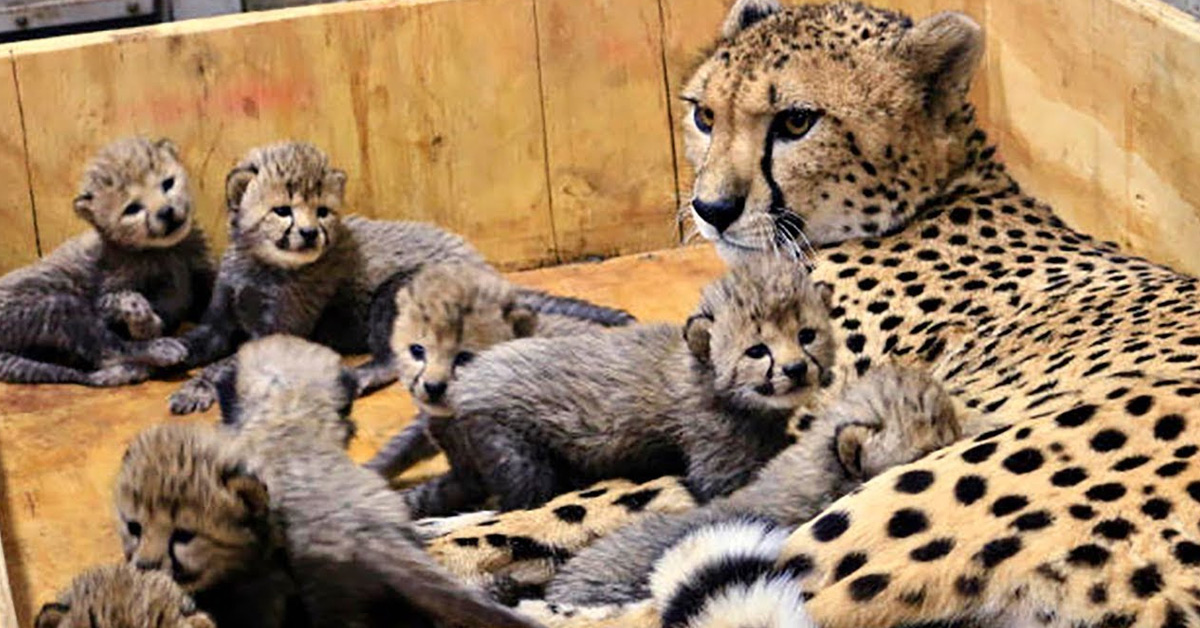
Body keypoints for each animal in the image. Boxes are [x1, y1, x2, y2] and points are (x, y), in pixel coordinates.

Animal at [0, 137, 212, 386]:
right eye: (132, 209)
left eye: (168, 183)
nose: (166, 212)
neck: (165, 251)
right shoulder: (100, 298)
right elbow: (124, 299)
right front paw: (146, 324)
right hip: (58, 306)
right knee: (106, 353)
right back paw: (154, 354)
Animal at [412, 2, 1200, 627]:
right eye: (703, 115)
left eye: (795, 122)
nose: (712, 208)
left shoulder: (780, 445)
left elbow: (592, 502)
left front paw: (447, 544)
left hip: (916, 495)